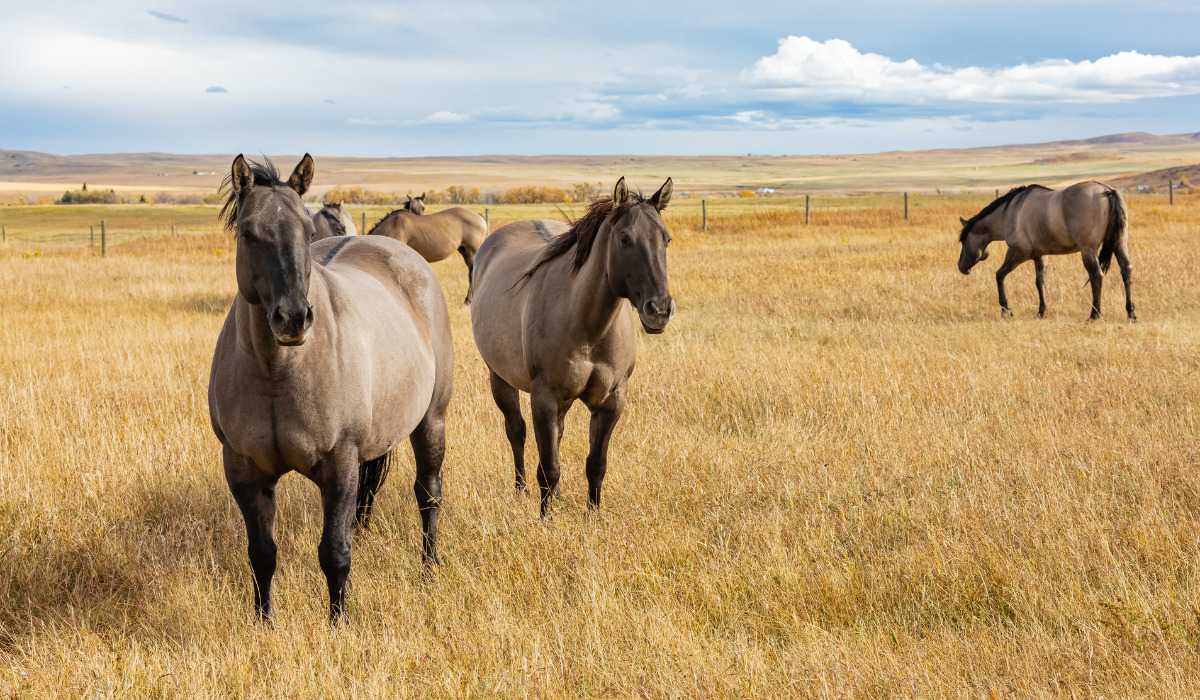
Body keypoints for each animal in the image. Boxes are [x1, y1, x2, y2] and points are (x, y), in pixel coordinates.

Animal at [208, 155, 454, 624]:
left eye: (307, 230)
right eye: (248, 233)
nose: (293, 318)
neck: (277, 371)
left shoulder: (339, 463)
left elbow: (335, 553)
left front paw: (338, 624)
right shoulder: (244, 470)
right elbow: (262, 554)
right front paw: (264, 623)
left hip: (431, 420)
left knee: (428, 495)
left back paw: (430, 571)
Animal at [469, 177, 675, 517]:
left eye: (667, 239)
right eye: (624, 239)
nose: (658, 310)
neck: (587, 325)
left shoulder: (612, 400)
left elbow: (596, 464)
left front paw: (593, 516)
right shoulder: (544, 398)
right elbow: (549, 466)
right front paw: (546, 519)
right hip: (499, 378)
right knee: (516, 431)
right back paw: (521, 490)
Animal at [957, 182, 1135, 321]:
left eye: (963, 241)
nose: (960, 266)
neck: (1010, 212)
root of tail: (1108, 191)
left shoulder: (1017, 253)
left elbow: (999, 275)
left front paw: (1006, 309)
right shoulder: (1040, 256)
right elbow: (1040, 282)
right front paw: (1041, 312)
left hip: (1088, 251)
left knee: (1097, 276)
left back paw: (1094, 314)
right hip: (1120, 244)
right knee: (1126, 270)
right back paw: (1131, 313)